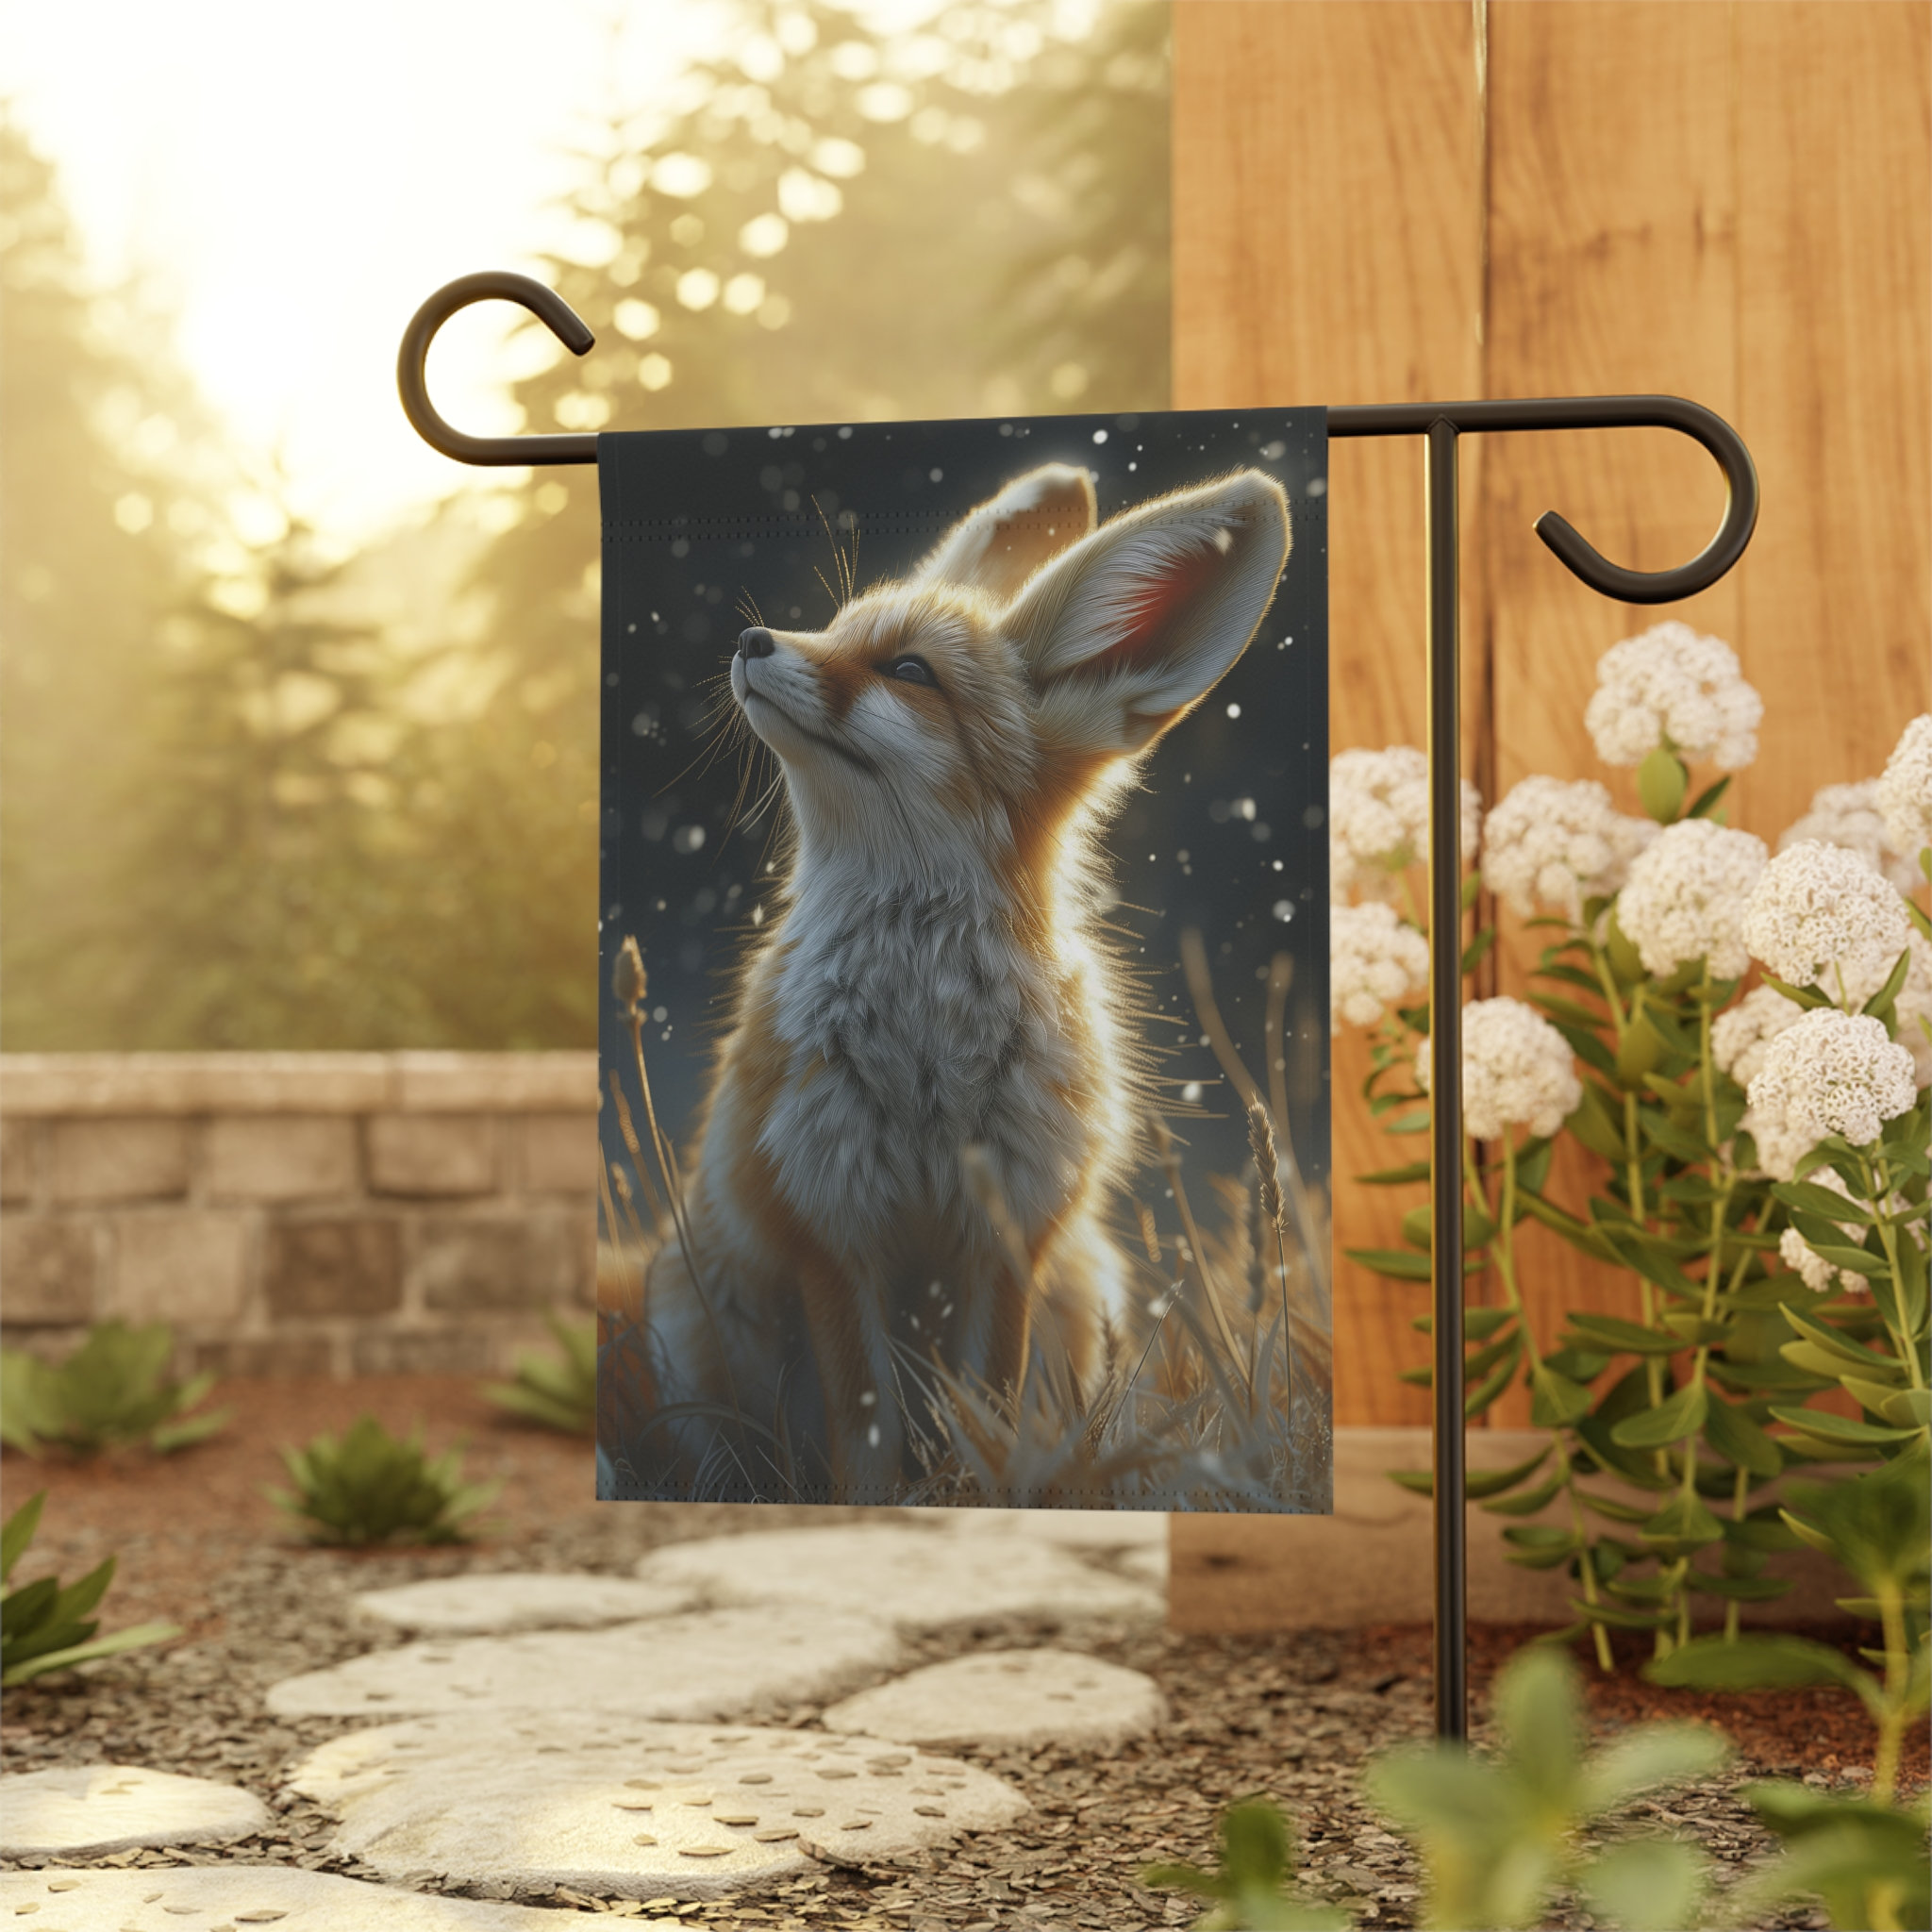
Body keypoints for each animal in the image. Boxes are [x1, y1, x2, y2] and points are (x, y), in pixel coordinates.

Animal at [635, 461, 1292, 1497]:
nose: (751, 638)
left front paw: (982, 1504)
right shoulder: (832, 1226)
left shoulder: (1006, 1232)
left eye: (907, 671)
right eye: (836, 626)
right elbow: (865, 1445)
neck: (922, 1063)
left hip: (1082, 1288)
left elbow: (985, 1420)